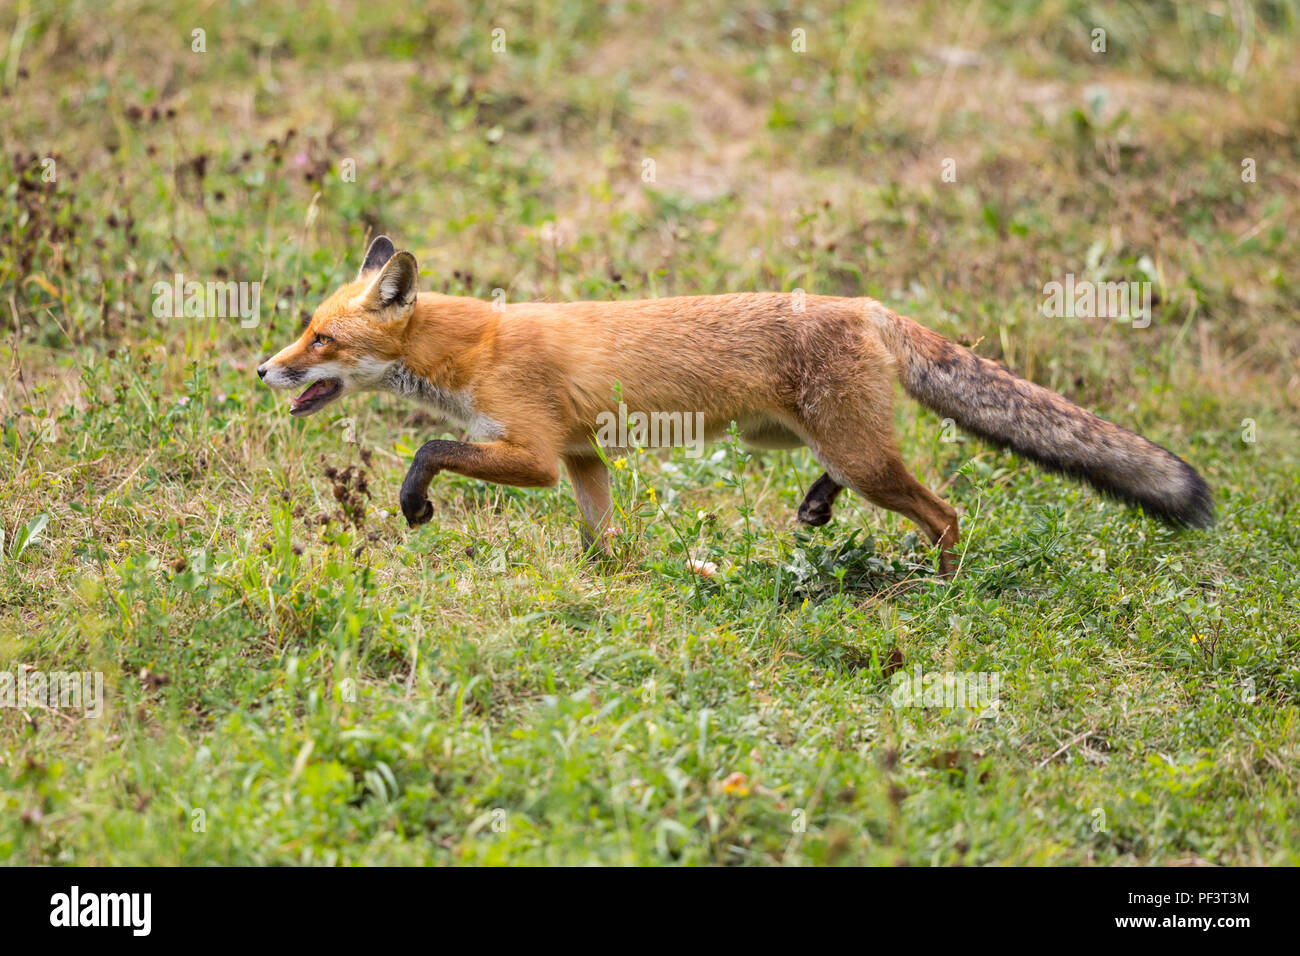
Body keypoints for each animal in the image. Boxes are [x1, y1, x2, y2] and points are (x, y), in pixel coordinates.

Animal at [257, 236, 1213, 575]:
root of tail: (864, 304)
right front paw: (606, 581)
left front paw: (415, 507)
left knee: (944, 512)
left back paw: (942, 591)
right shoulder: (583, 459)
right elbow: (600, 535)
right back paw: (820, 510)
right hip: (794, 441)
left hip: (856, 453)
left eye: (321, 340)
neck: (472, 348)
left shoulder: (531, 453)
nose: (264, 370)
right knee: (865, 483)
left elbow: (428, 453)